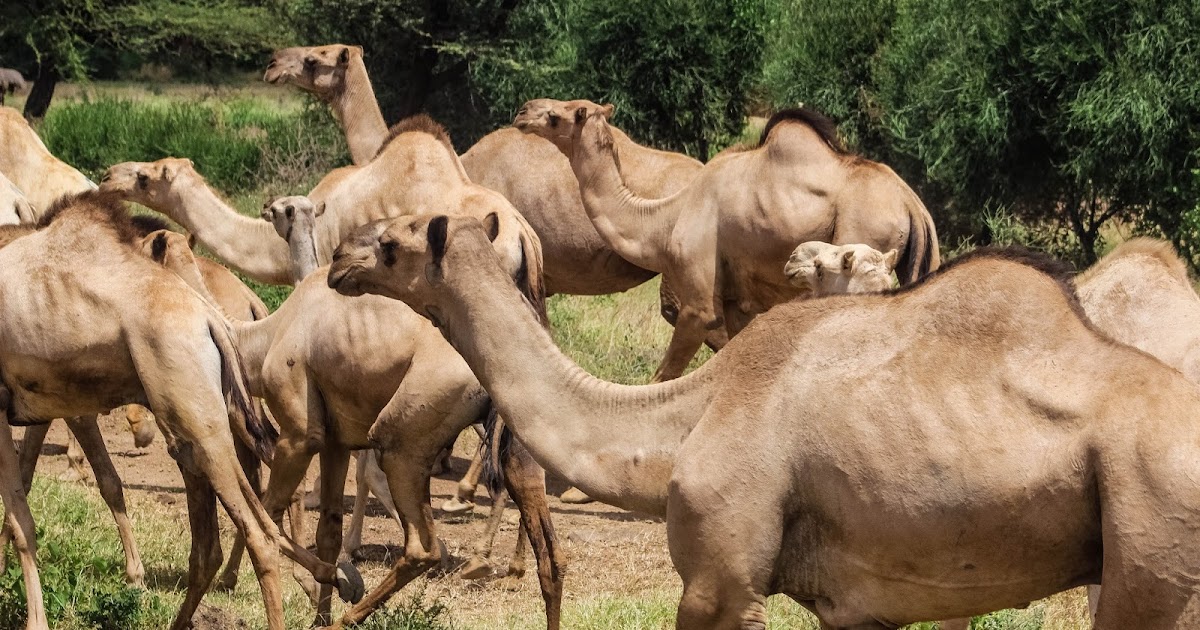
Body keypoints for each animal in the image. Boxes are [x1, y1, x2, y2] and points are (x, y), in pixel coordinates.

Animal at [0, 192, 367, 630]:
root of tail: (211, 321)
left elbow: (26, 512)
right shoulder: (45, 402)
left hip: (198, 421)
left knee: (257, 530)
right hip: (197, 425)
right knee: (223, 533)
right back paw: (337, 579)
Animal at [332, 212, 1200, 629]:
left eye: (390, 242)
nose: (337, 260)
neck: (684, 420)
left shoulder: (720, 581)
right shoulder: (859, 608)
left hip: (1157, 550)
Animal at [515, 100, 941, 381]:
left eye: (557, 115)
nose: (522, 110)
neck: (665, 219)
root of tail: (914, 206)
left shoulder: (698, 296)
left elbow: (664, 375)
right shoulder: (739, 304)